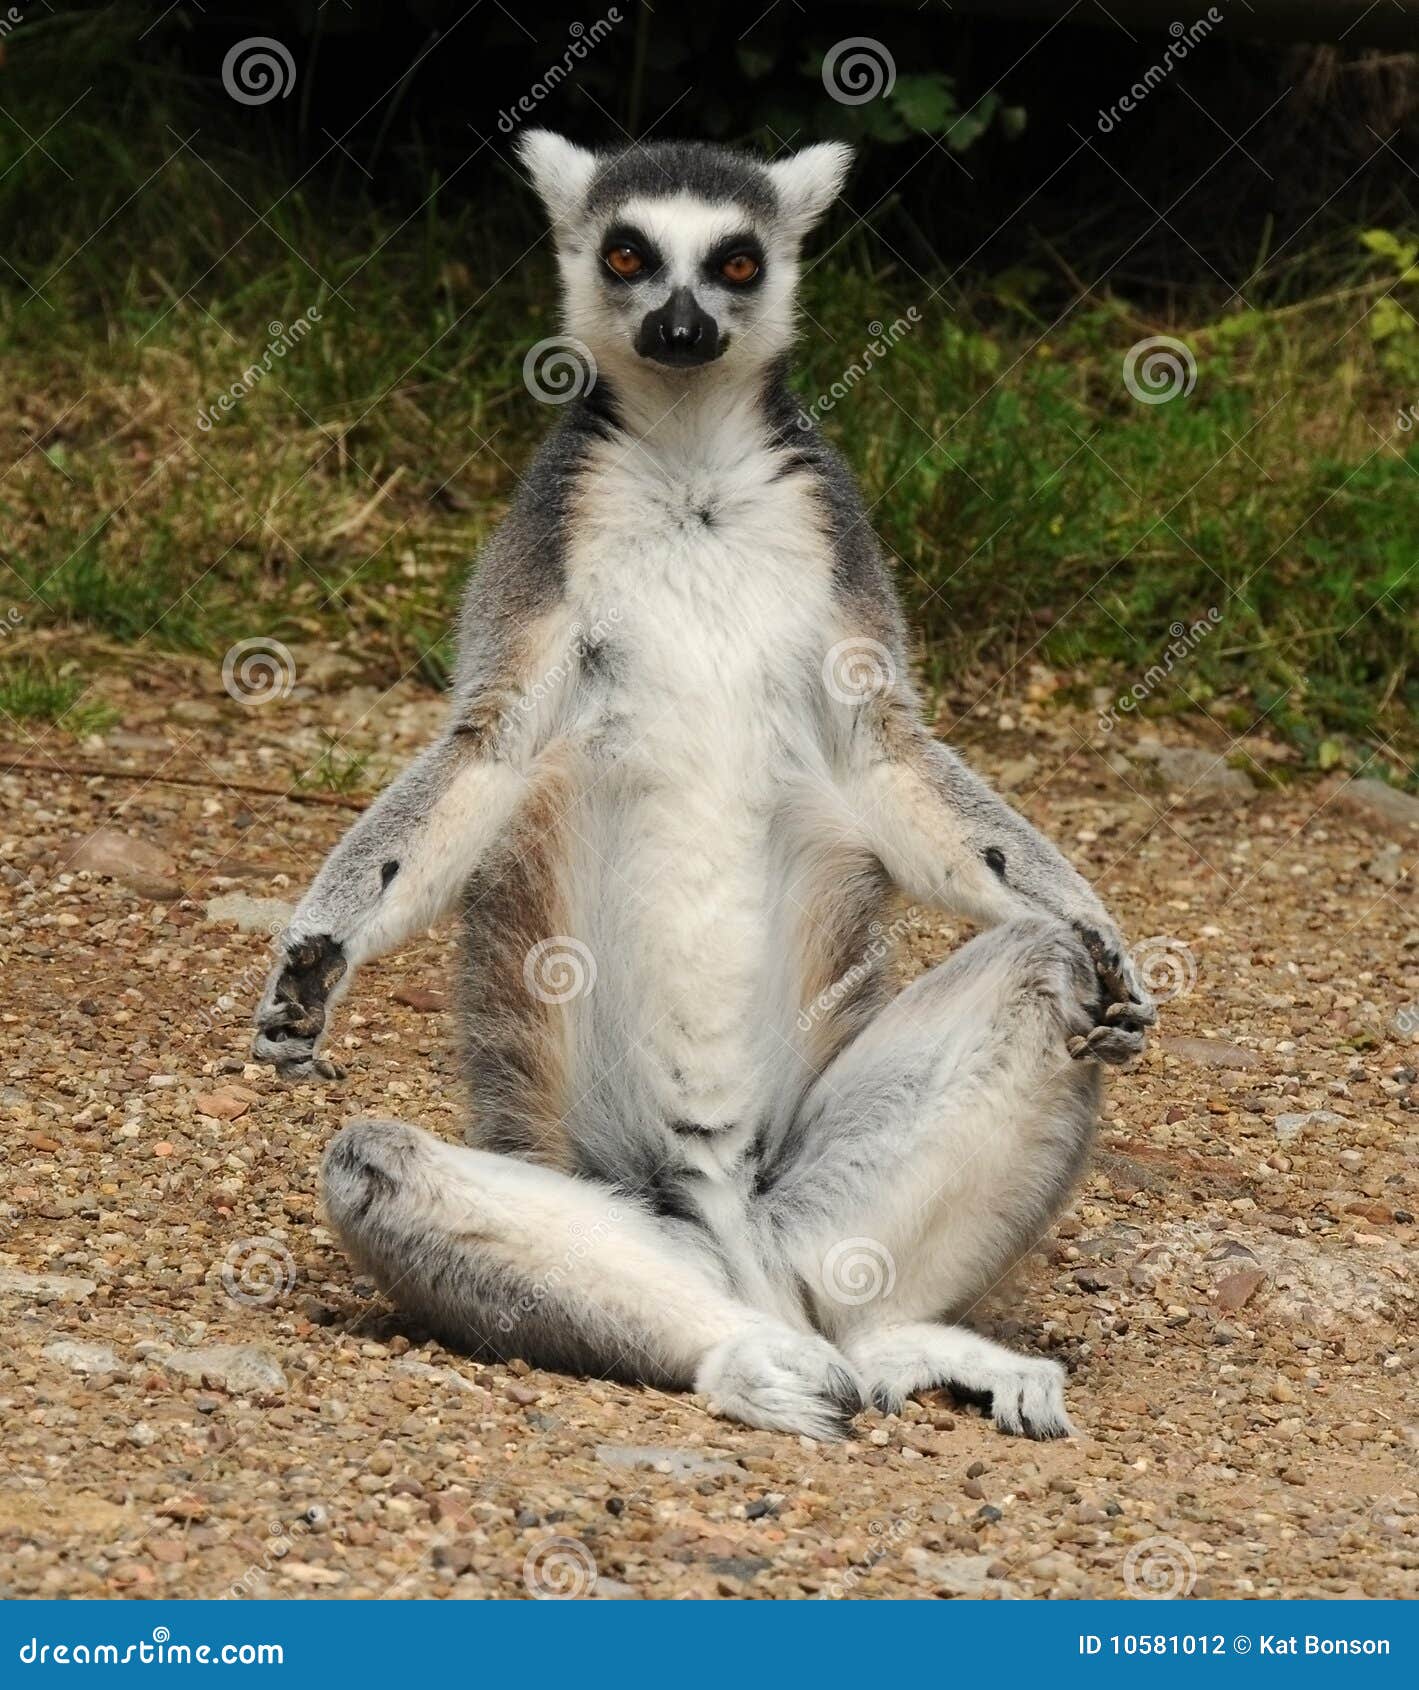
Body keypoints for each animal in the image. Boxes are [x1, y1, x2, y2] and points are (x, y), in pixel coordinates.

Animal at [253, 133, 1156, 1440]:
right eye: (629, 256)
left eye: (734, 263)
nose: (682, 328)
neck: (690, 464)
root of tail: (742, 1251)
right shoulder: (546, 536)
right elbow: (490, 749)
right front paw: (317, 958)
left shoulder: (837, 538)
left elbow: (885, 753)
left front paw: (1098, 926)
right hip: (642, 1225)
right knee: (375, 1162)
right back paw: (749, 1362)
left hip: (823, 1216)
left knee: (1046, 976)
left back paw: (894, 1338)